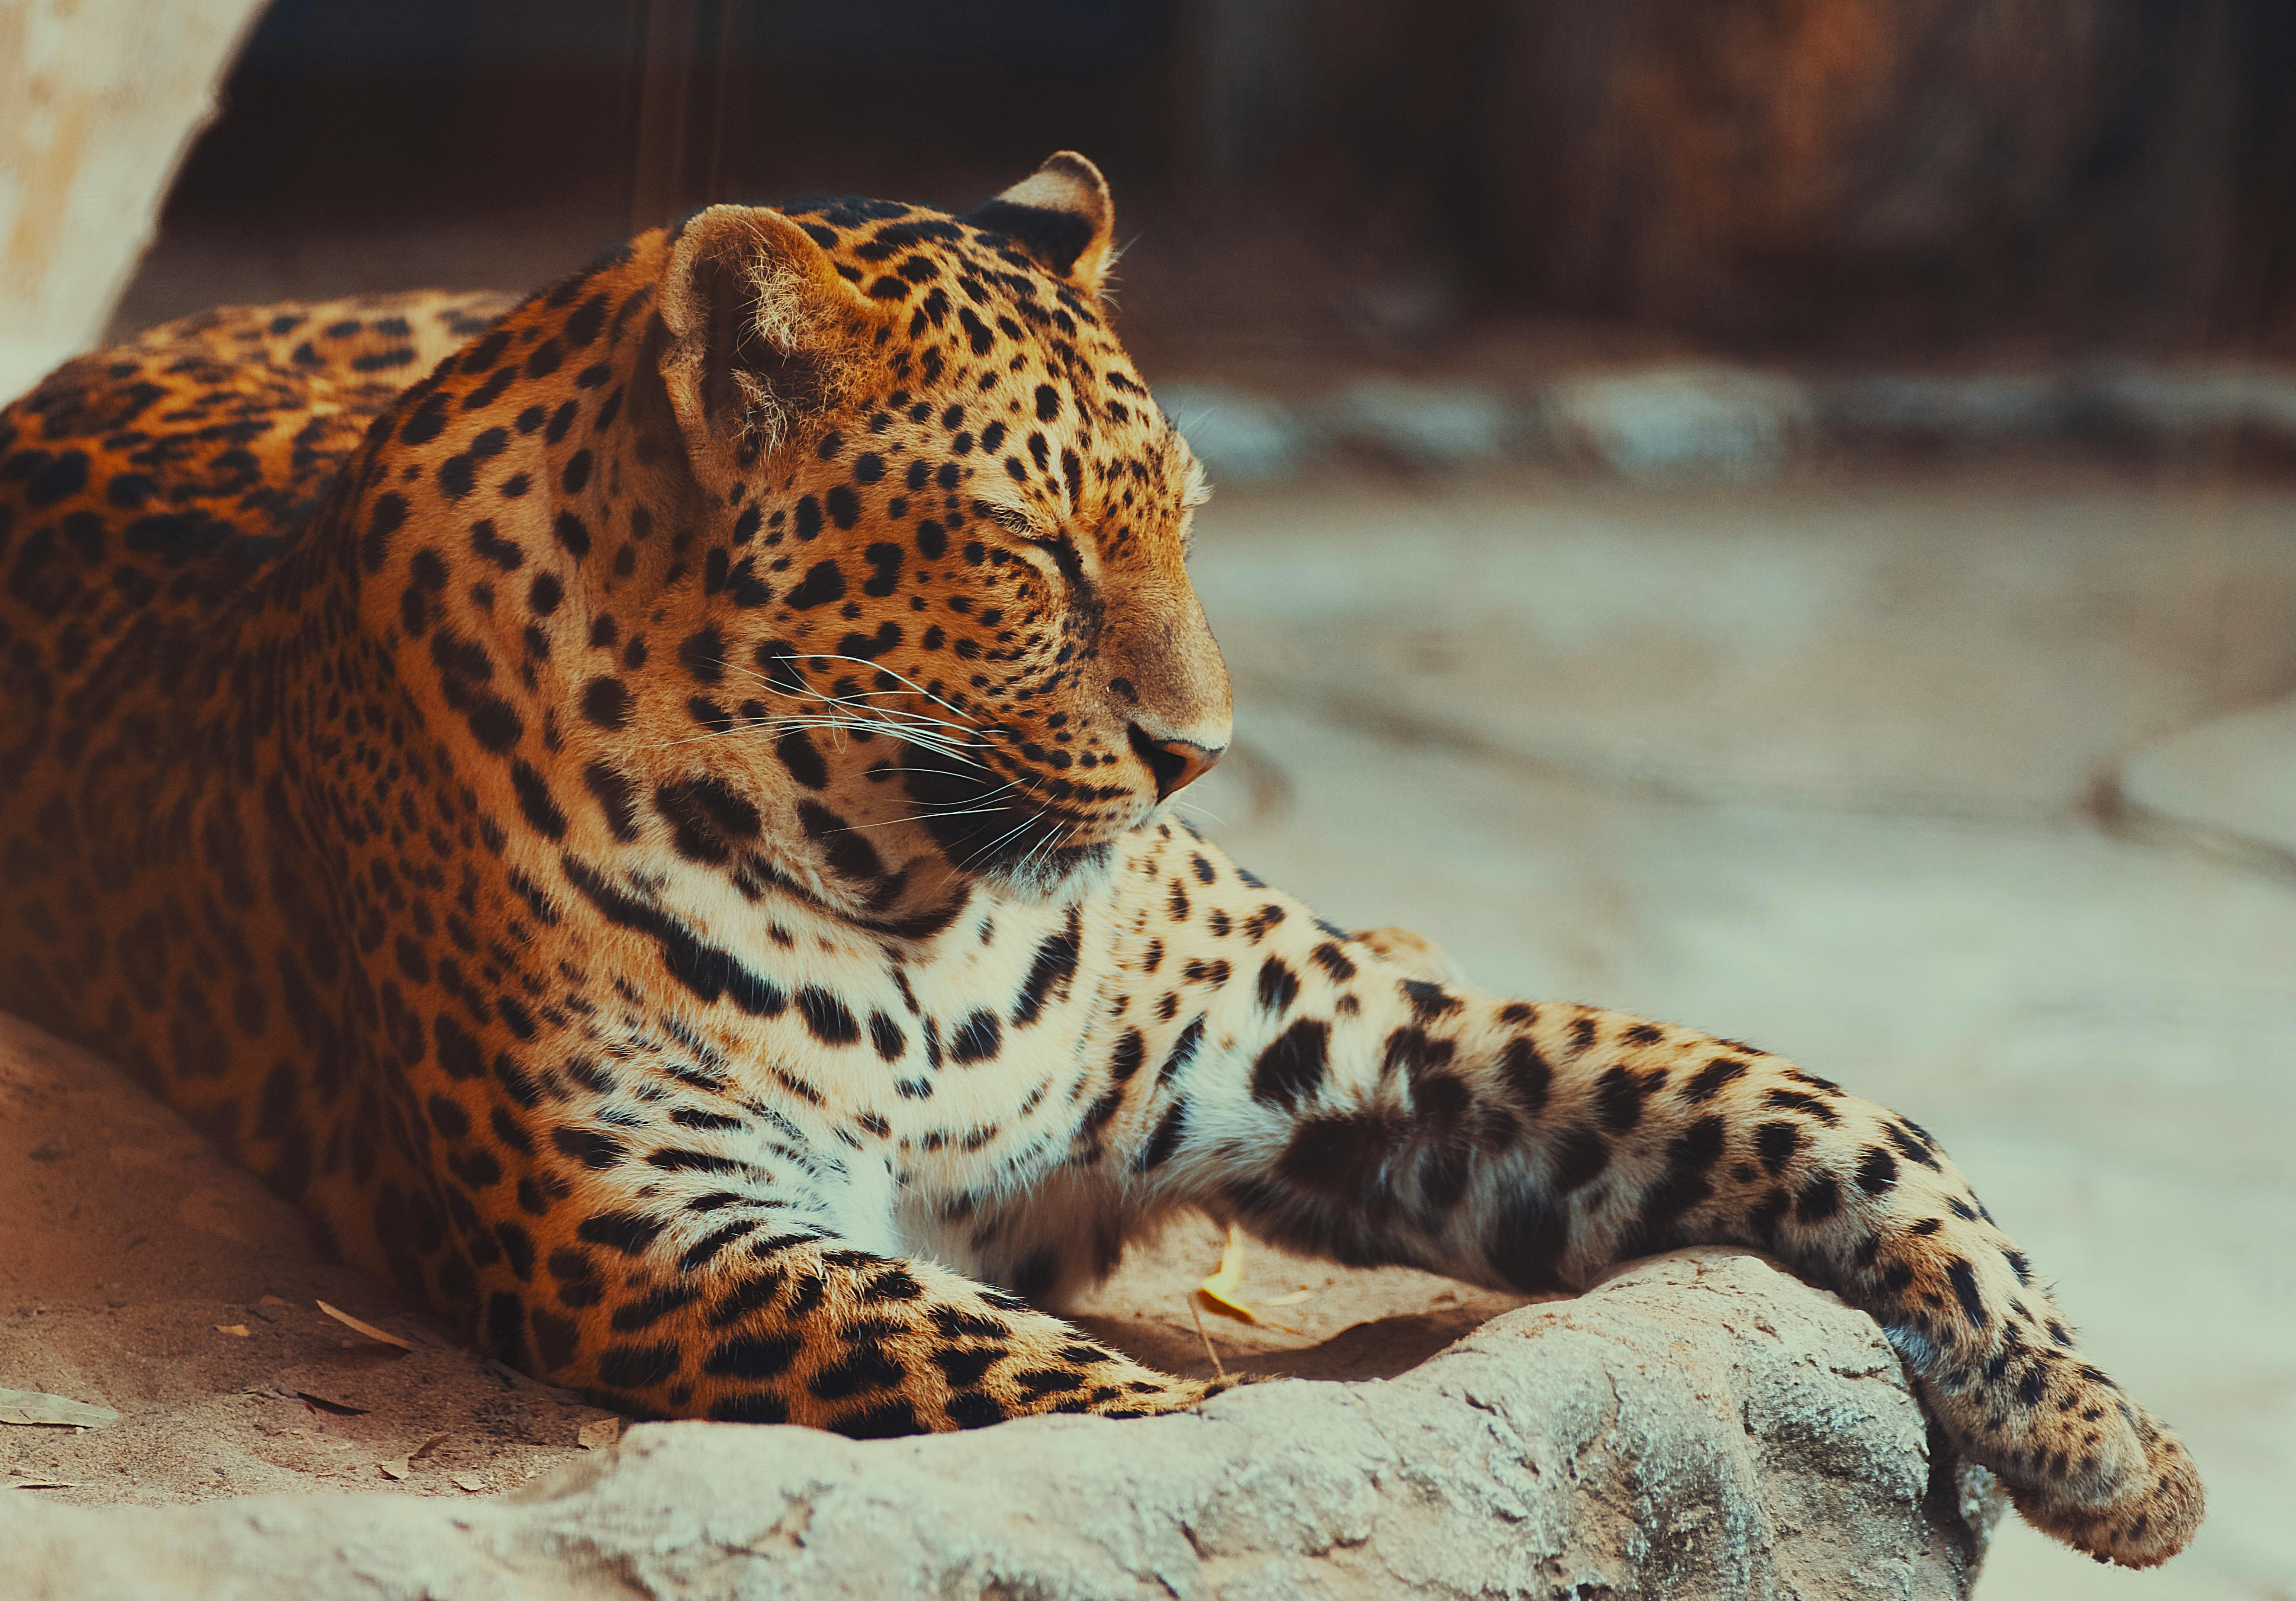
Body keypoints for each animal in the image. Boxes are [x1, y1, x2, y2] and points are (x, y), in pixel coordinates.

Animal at [0, 152, 2202, 1567]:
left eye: (1187, 521)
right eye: (1027, 548)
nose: (1197, 757)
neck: (914, 911)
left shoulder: (1372, 1048)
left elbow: (1824, 1118)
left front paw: (2106, 1437)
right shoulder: (651, 1227)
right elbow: (1064, 1392)